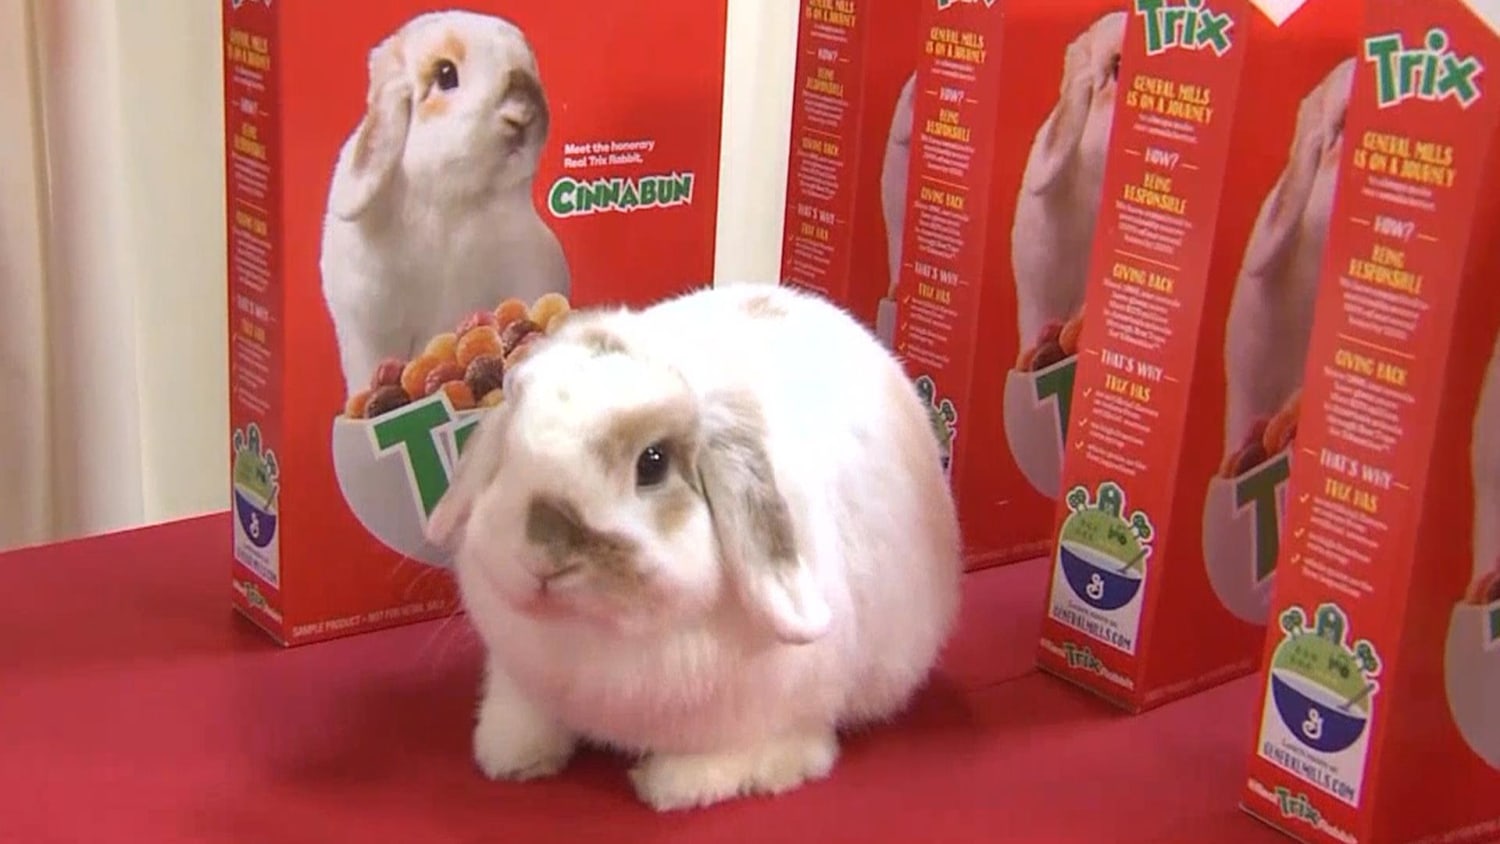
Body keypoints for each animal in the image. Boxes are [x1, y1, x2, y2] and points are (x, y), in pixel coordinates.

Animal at [424, 283, 964, 812]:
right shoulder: (521, 675)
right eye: (511, 445)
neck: (595, 634)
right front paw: (510, 757)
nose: (543, 557)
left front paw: (676, 785)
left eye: (653, 463)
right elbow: (524, 714)